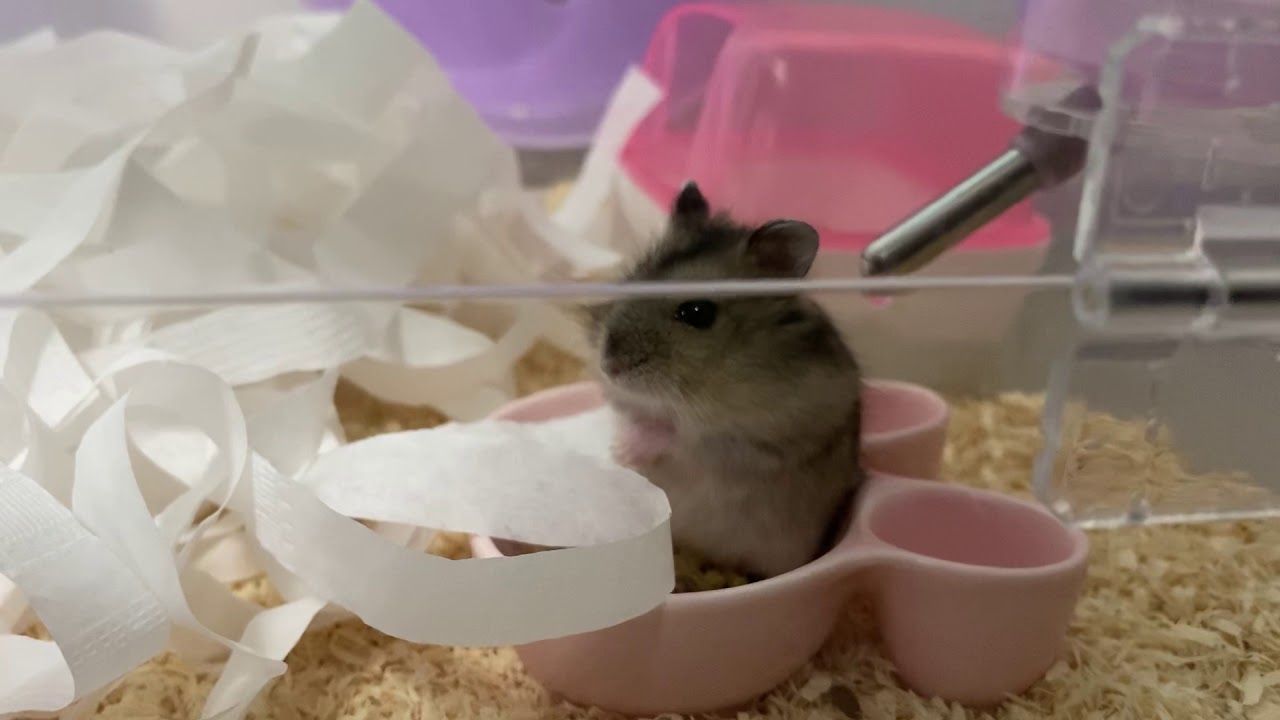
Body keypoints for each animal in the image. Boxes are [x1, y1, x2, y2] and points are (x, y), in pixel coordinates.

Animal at [584, 181, 864, 579]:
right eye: (631, 280)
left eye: (698, 312)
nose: (609, 366)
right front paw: (620, 448)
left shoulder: (757, 442)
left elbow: (685, 438)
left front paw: (624, 450)